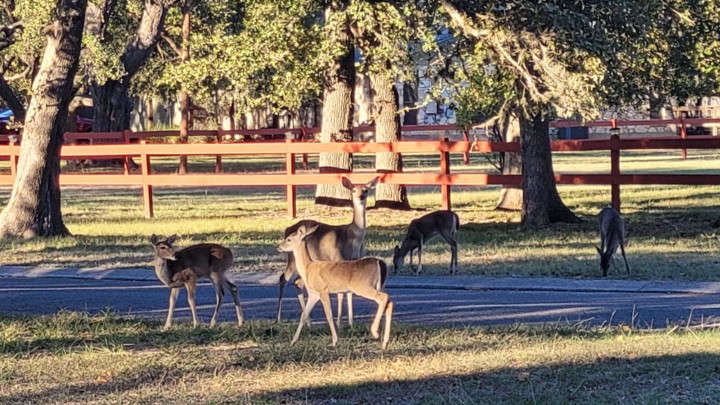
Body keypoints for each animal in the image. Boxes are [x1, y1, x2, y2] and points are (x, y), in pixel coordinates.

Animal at [276, 176, 379, 328]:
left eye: (366, 190)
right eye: (354, 190)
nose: (360, 196)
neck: (352, 237)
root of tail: (287, 229)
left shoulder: (353, 261)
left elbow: (349, 291)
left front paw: (351, 322)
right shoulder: (337, 257)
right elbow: (341, 293)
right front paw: (339, 322)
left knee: (298, 281)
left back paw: (309, 321)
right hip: (292, 257)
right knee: (284, 278)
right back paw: (278, 318)